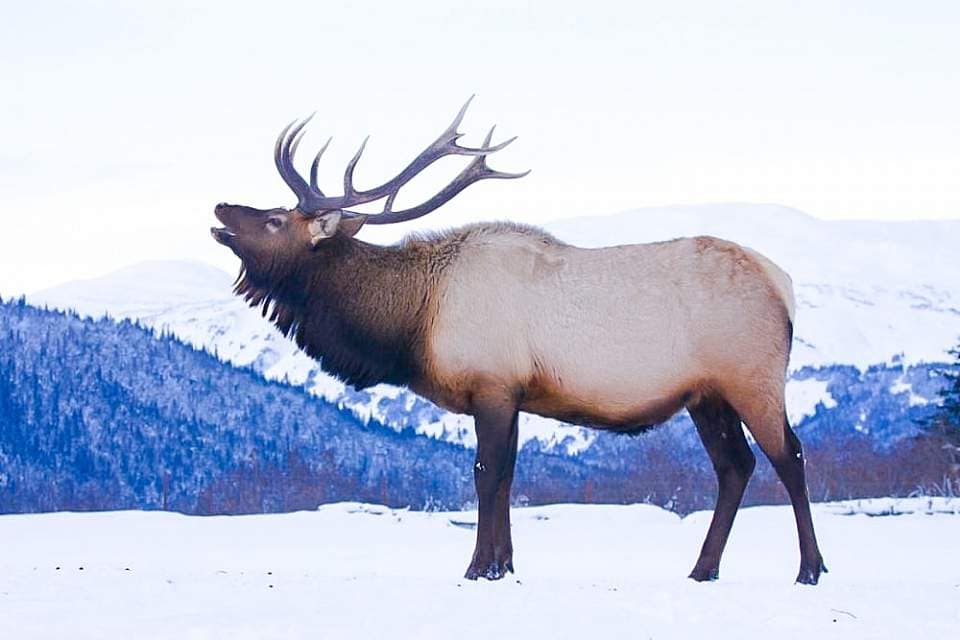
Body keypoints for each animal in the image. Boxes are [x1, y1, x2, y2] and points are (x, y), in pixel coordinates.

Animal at [211, 98, 827, 585]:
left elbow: (486, 475)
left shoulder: (492, 384)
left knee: (789, 456)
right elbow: (507, 477)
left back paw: (809, 568)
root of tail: (784, 284)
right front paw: (503, 565)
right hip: (706, 396)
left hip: (752, 376)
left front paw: (477, 566)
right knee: (735, 467)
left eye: (274, 220)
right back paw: (703, 567)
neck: (414, 319)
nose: (220, 206)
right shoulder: (514, 394)